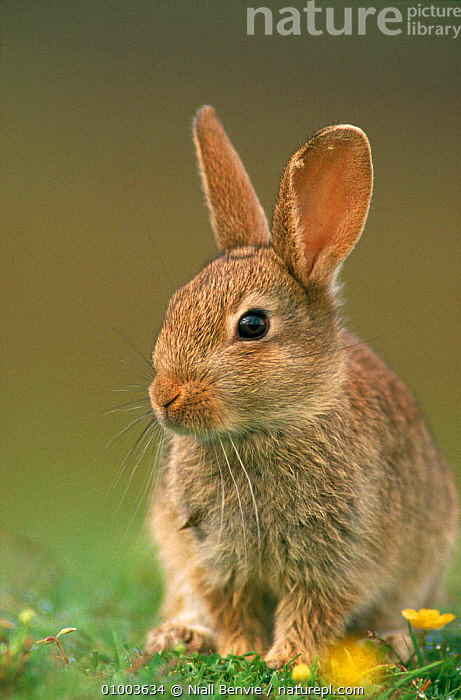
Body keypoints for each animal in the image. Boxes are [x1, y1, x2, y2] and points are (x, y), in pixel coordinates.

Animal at [144, 106, 459, 668]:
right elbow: (231, 604)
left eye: (252, 326)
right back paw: (180, 637)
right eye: (175, 305)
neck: (267, 427)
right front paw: (242, 653)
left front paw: (288, 661)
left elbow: (312, 608)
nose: (165, 398)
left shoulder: (338, 556)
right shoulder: (212, 555)